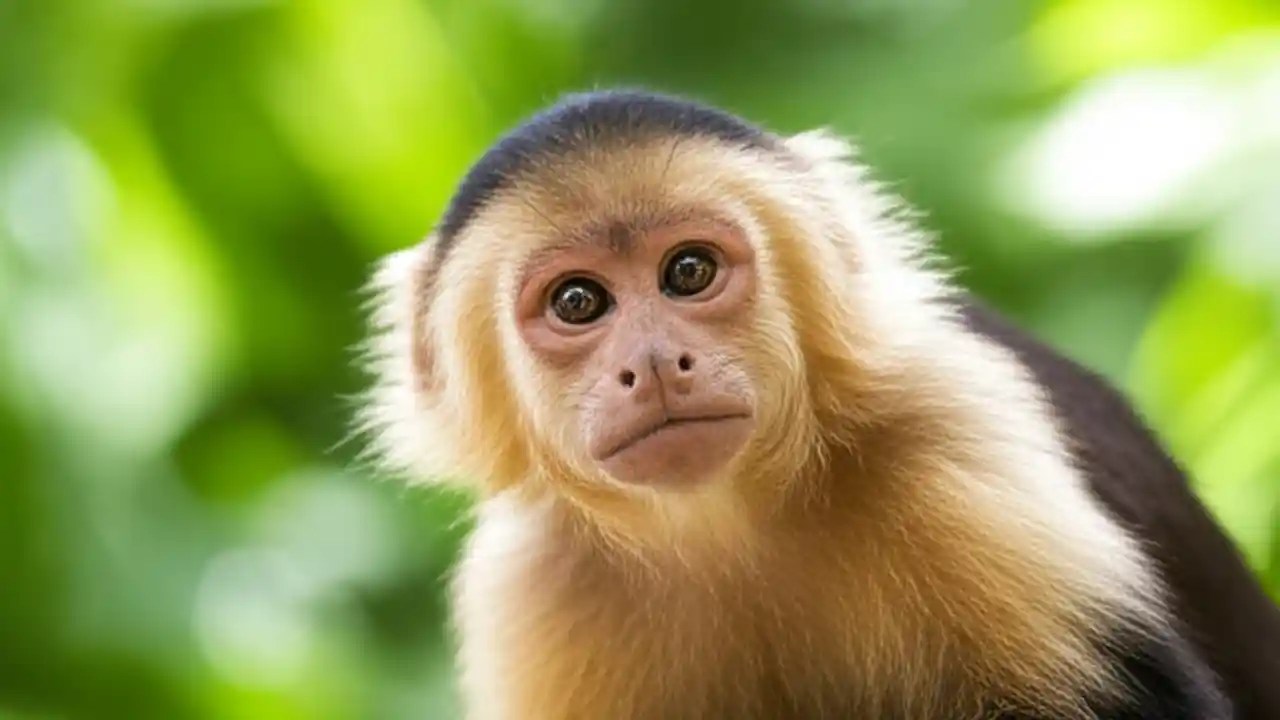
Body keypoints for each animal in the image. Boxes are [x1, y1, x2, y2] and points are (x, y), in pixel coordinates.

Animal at [359, 90, 1280, 719]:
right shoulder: (534, 589)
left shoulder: (954, 449)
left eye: (688, 272)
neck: (728, 528)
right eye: (578, 302)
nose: (652, 364)